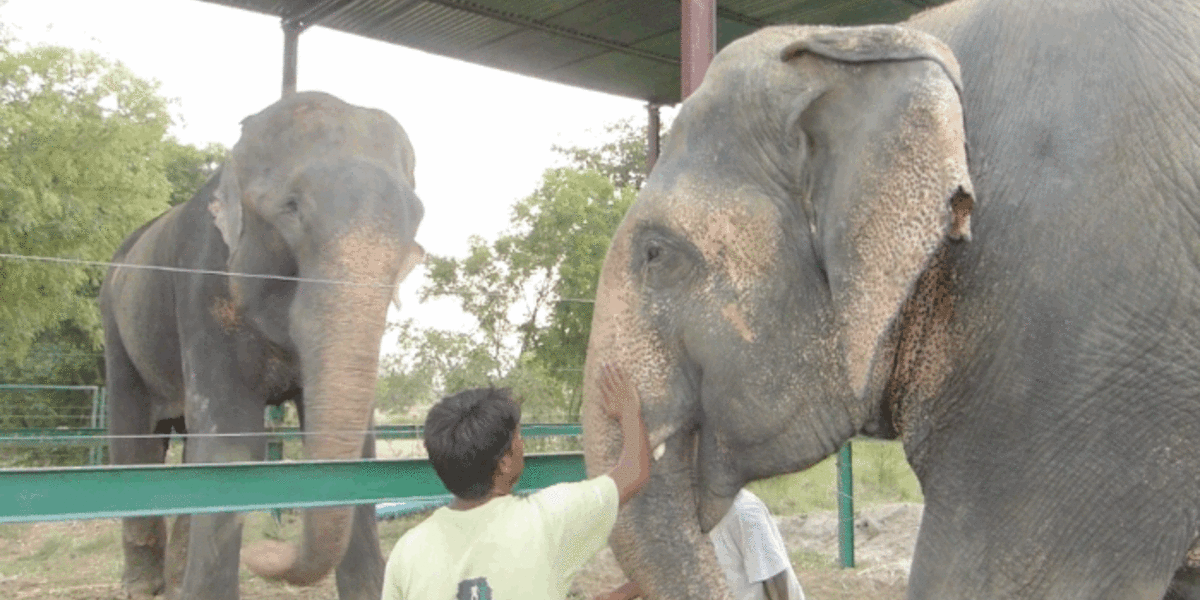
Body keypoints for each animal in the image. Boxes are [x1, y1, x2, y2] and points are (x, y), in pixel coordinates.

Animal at [99, 91, 424, 600]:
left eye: (417, 219)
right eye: (292, 207)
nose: (265, 551)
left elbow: (360, 449)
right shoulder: (203, 287)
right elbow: (232, 445)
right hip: (116, 324)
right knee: (135, 442)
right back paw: (145, 587)